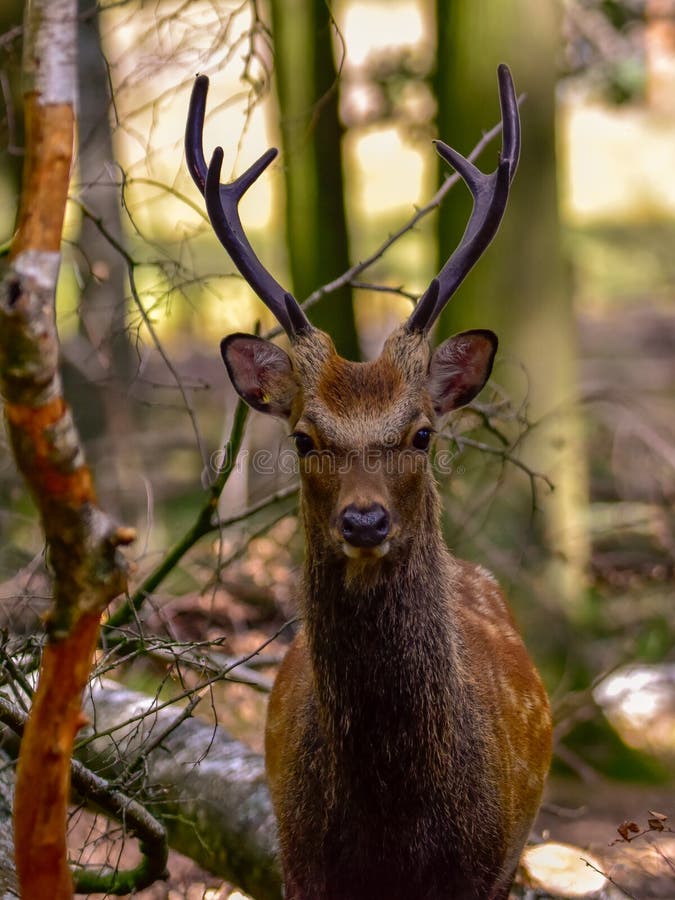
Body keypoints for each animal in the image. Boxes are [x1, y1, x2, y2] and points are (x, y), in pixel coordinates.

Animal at [186, 64, 552, 900]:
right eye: (303, 437)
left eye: (421, 433)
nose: (363, 522)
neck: (392, 820)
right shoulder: (299, 859)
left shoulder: (483, 865)